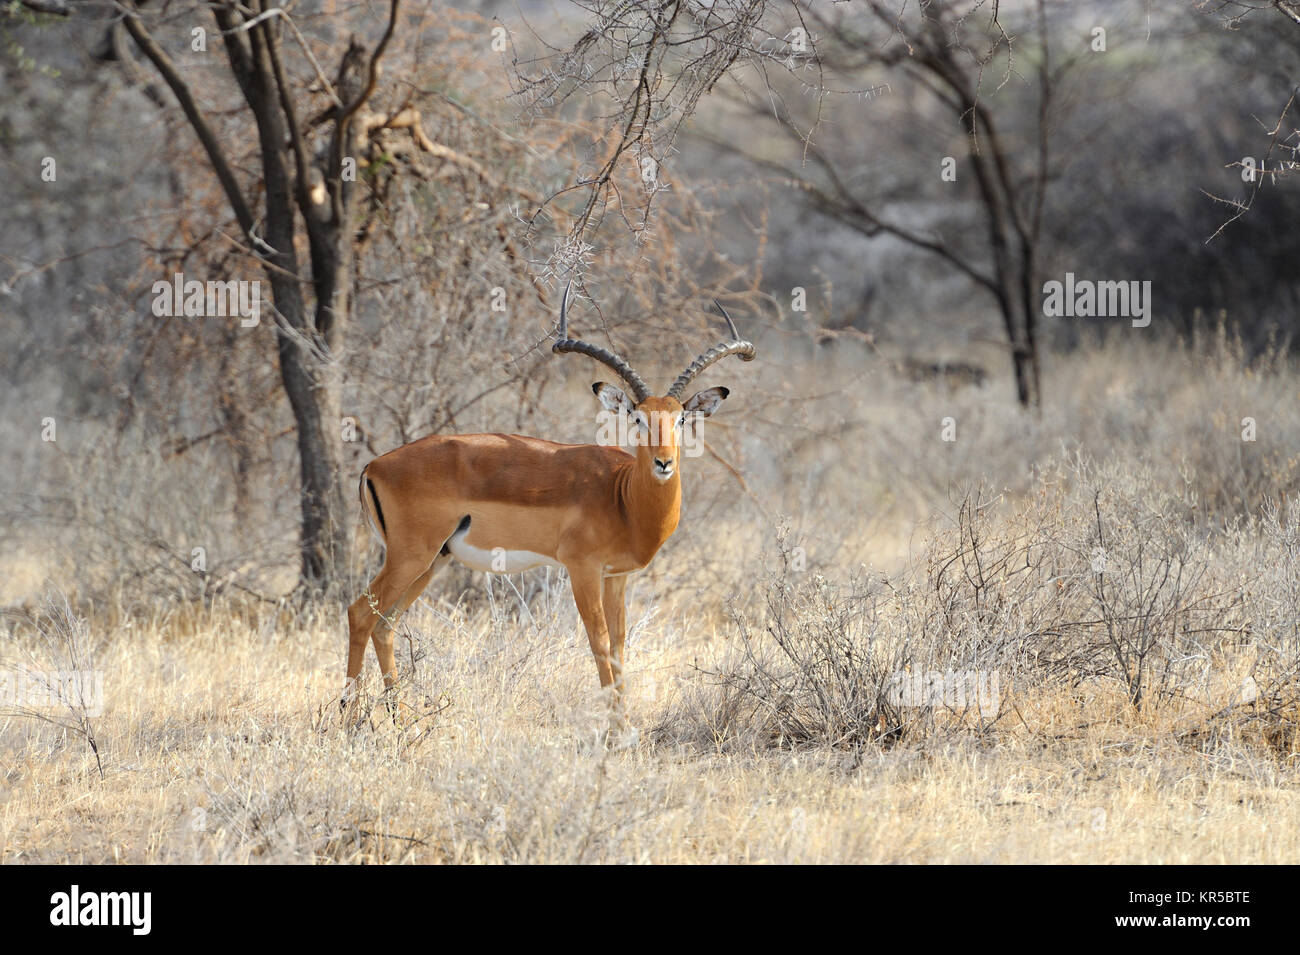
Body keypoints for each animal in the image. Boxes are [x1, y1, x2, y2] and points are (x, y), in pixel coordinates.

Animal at [344, 284, 756, 710]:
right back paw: (351, 715)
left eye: (681, 418)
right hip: (410, 557)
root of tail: (374, 465)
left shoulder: (616, 576)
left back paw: (398, 715)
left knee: (385, 623)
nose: (664, 462)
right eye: (638, 417)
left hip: (431, 561)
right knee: (360, 613)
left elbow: (620, 647)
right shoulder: (582, 569)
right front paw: (611, 722)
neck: (622, 496)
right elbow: (600, 644)